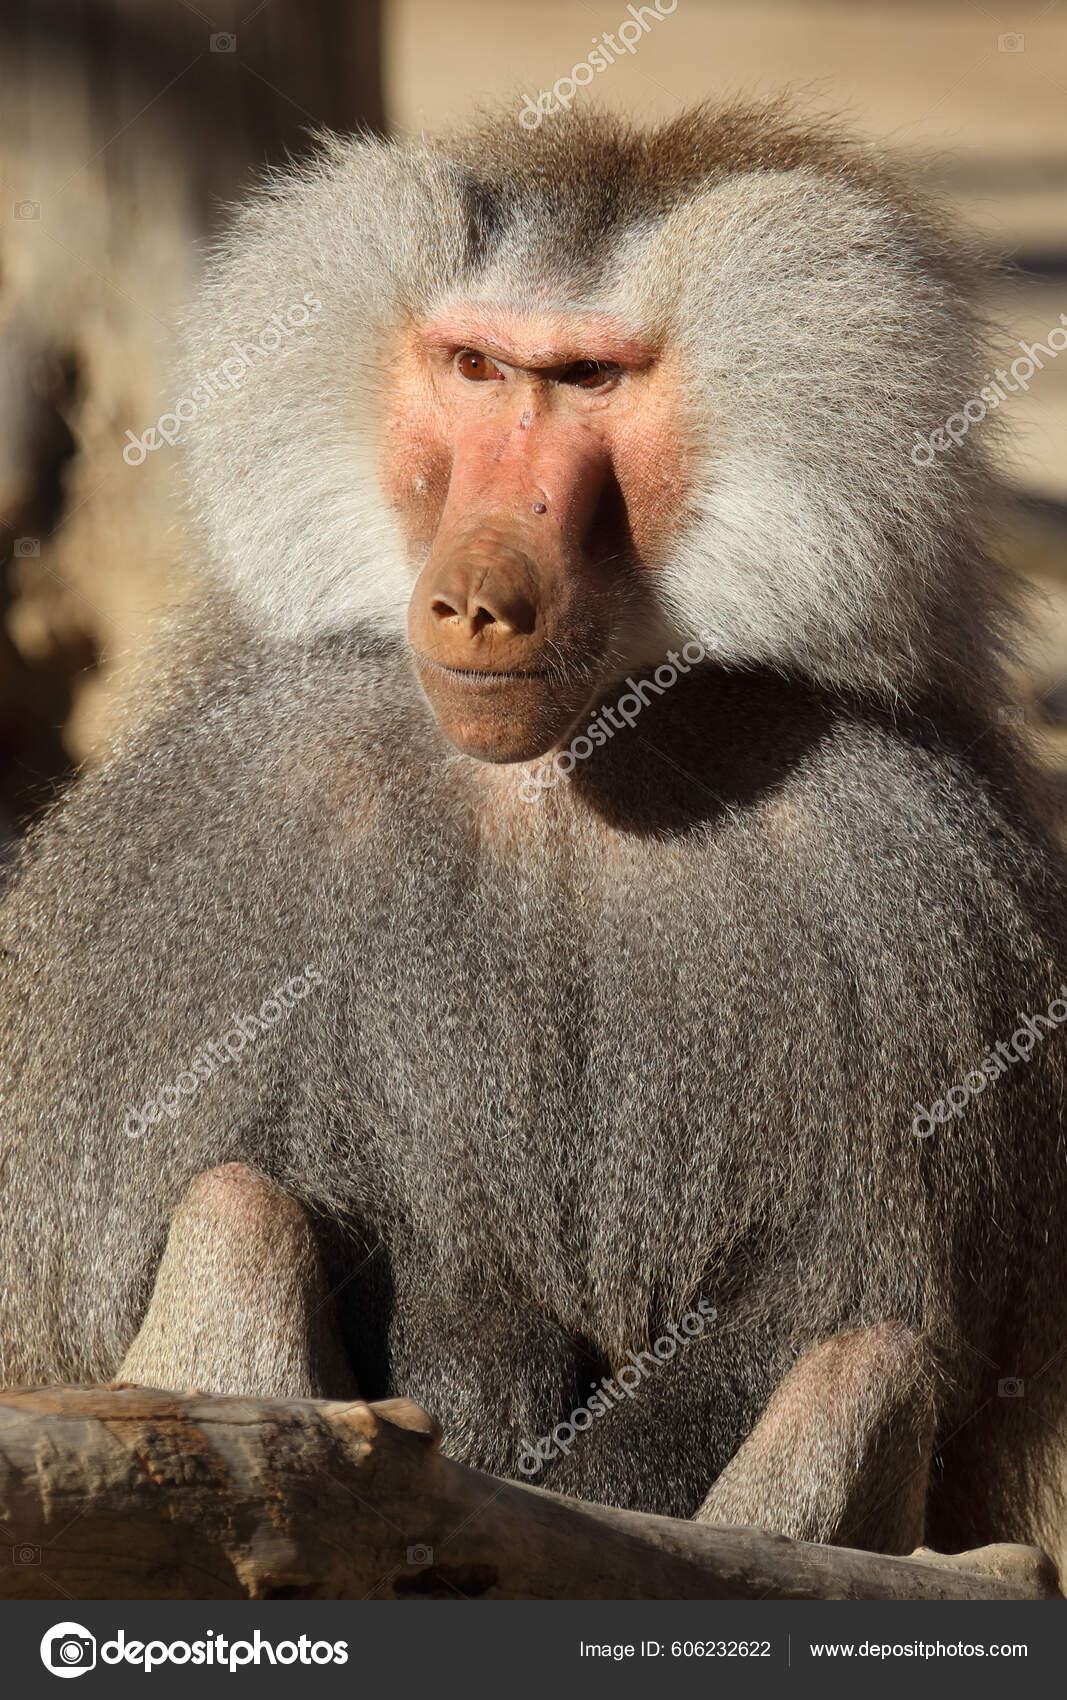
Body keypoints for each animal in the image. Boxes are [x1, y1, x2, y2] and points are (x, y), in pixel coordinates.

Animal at [1, 98, 1066, 1575]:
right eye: (473, 366)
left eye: (587, 382)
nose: (473, 596)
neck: (560, 766)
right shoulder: (208, 846)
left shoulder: (906, 884)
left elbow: (810, 1303)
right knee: (233, 1215)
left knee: (864, 1362)